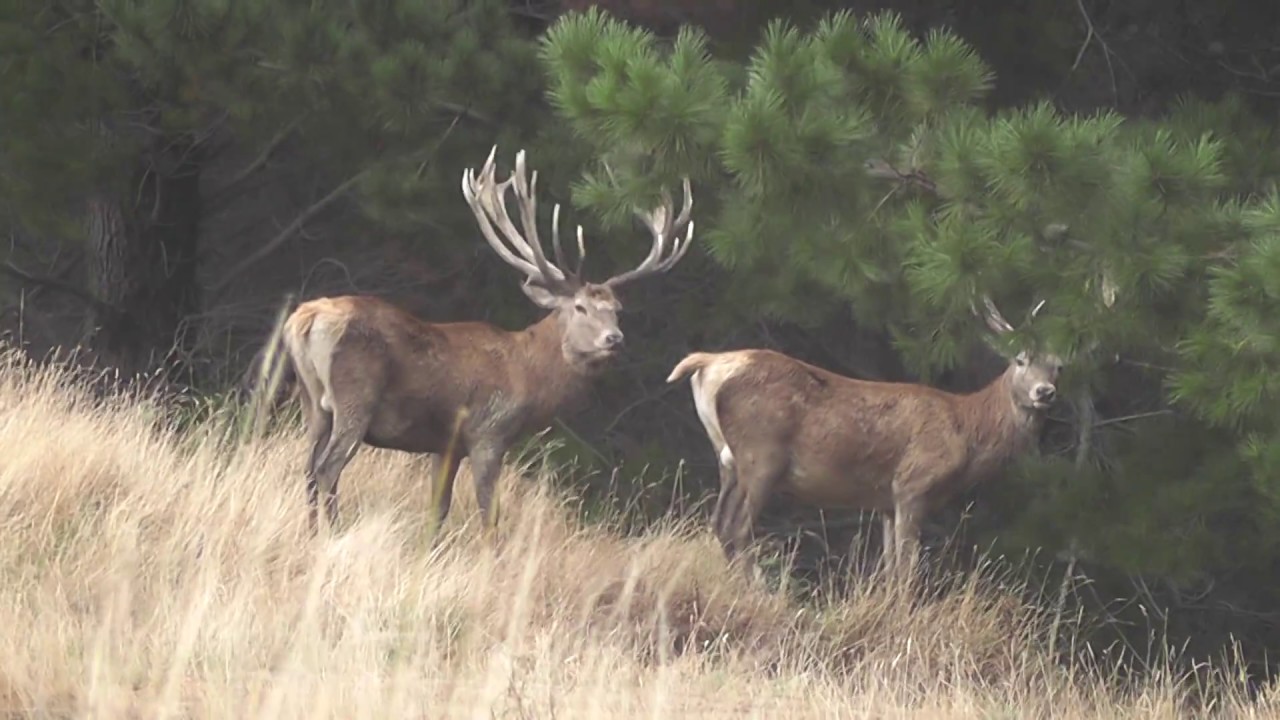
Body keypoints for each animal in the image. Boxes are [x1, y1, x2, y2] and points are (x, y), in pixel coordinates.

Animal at [282, 146, 694, 534]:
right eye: (580, 307)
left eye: (617, 308)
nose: (614, 338)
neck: (529, 374)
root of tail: (305, 320)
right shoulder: (488, 431)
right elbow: (489, 514)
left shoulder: (445, 445)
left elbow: (437, 511)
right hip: (355, 396)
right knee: (327, 468)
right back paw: (333, 532)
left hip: (312, 403)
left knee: (308, 467)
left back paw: (312, 532)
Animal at [665, 297, 1062, 577]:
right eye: (1020, 360)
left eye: (1059, 365)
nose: (1045, 392)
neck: (966, 431)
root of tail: (709, 364)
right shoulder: (912, 483)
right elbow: (906, 569)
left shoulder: (884, 501)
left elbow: (889, 567)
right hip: (761, 454)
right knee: (737, 528)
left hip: (728, 459)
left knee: (720, 524)